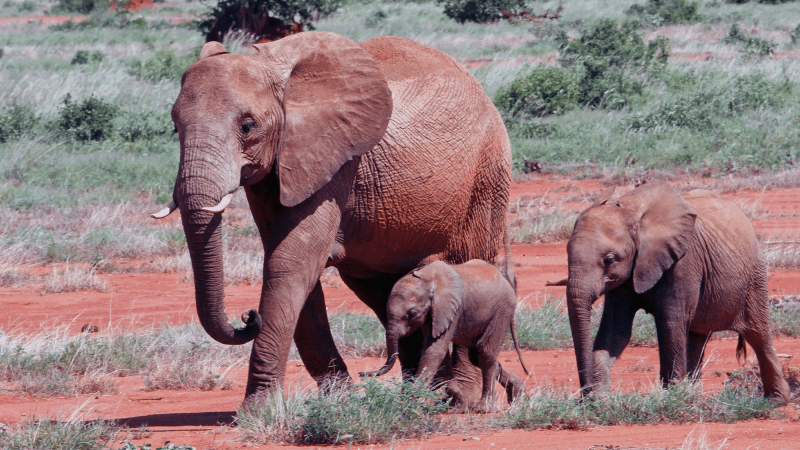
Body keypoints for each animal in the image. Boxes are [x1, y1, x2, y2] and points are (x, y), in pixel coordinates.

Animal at [151, 31, 512, 405]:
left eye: (248, 126)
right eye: (175, 125)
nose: (249, 316)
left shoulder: (337, 158)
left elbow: (290, 261)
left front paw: (257, 410)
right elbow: (291, 265)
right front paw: (341, 400)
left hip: (486, 177)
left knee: (470, 263)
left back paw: (459, 397)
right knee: (382, 289)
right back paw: (422, 394)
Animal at [359, 260, 529, 412]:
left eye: (412, 314)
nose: (361, 374)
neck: (428, 279)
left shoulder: (451, 307)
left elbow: (435, 350)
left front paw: (409, 406)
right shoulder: (432, 314)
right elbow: (435, 350)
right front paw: (456, 404)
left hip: (503, 311)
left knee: (485, 353)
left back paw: (485, 409)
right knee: (476, 356)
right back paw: (518, 395)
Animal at [563, 180, 790, 404]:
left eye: (609, 260)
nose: (583, 398)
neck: (630, 212)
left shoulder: (683, 263)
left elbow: (670, 323)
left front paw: (673, 399)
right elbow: (616, 330)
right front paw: (600, 401)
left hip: (755, 277)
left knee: (758, 334)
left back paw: (776, 400)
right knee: (697, 337)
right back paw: (695, 398)